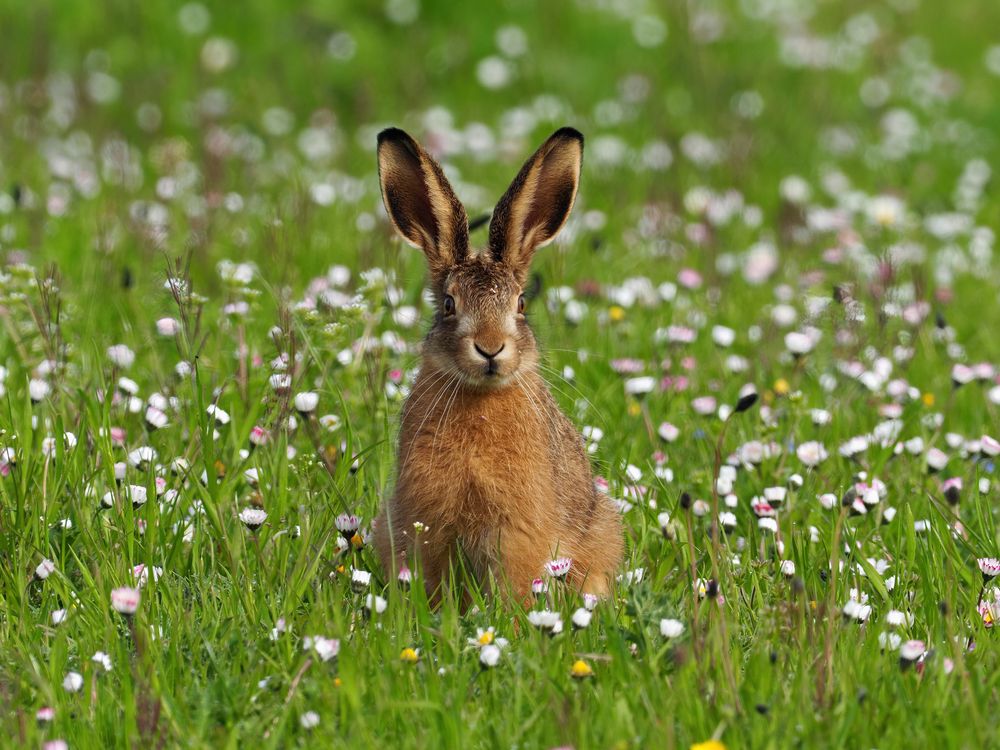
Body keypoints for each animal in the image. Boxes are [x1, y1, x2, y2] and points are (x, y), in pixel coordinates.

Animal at [372, 126, 623, 604]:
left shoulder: (518, 530)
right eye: (448, 305)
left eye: (521, 303)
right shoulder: (427, 524)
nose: (490, 348)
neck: (480, 396)